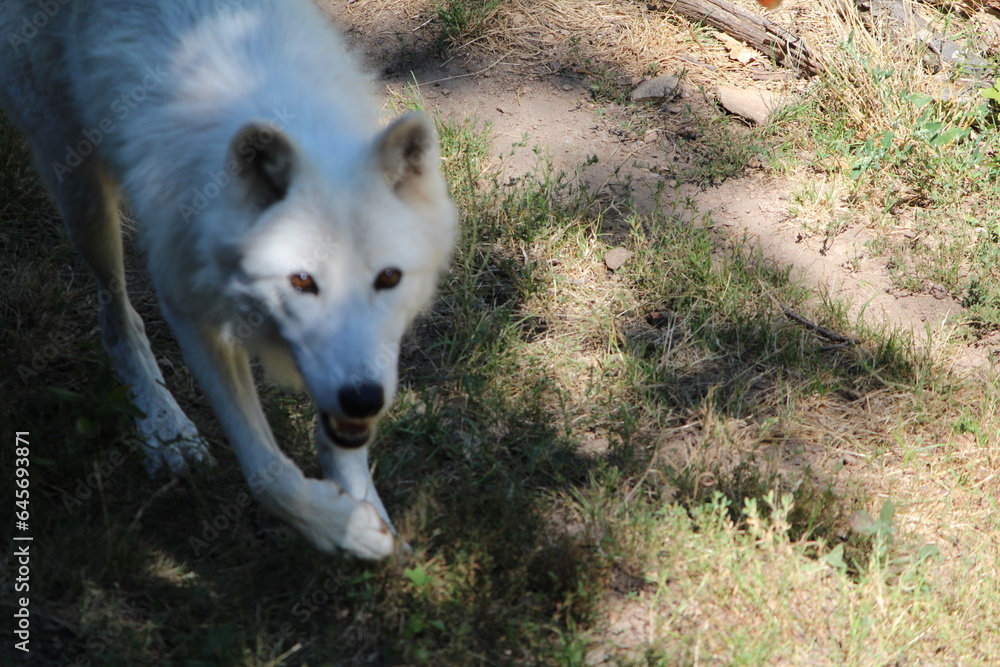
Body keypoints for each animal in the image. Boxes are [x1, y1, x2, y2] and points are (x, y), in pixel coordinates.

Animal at [0, 0, 457, 559]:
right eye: (302, 282)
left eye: (388, 278)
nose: (362, 398)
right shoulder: (190, 308)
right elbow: (267, 475)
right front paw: (341, 529)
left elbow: (340, 441)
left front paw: (364, 514)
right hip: (81, 192)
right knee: (117, 314)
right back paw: (165, 428)